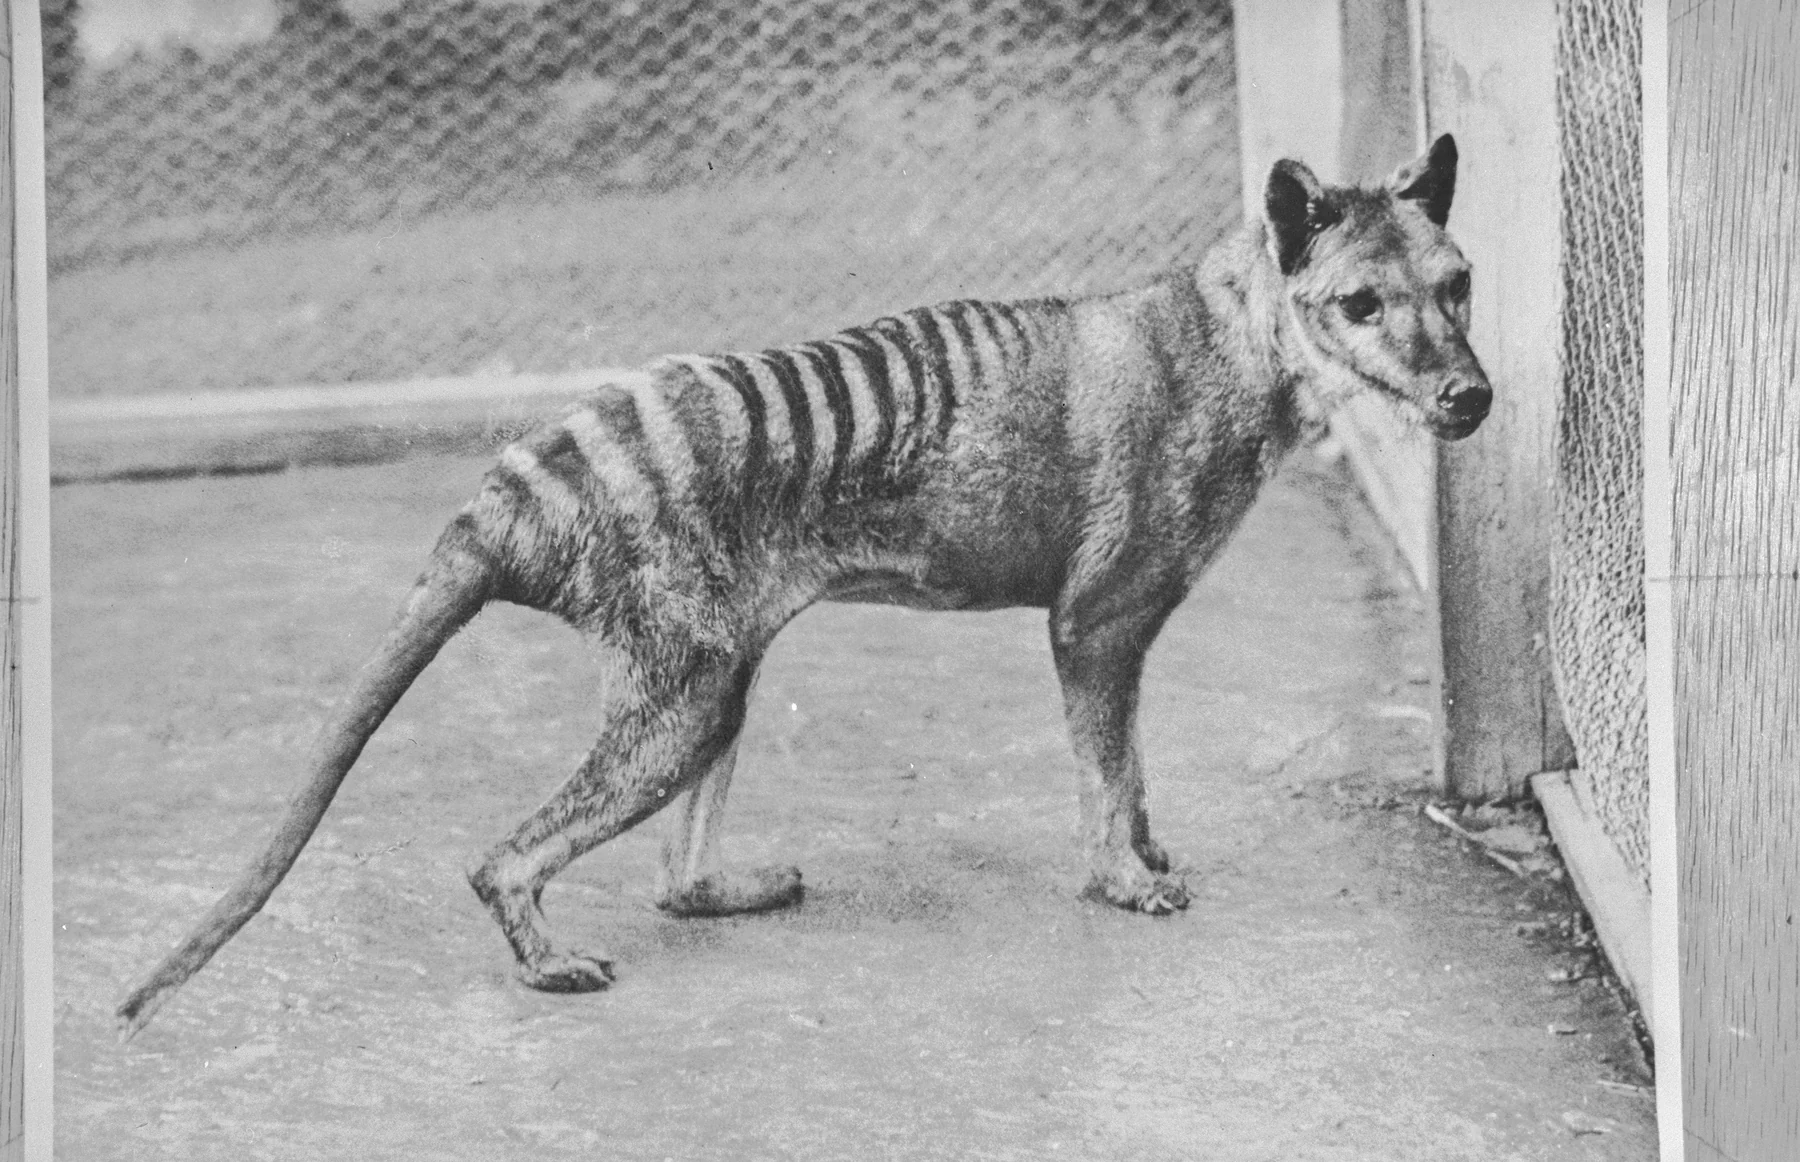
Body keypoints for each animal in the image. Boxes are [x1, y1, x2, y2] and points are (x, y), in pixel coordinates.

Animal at [118, 135, 1490, 1036]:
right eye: (1359, 302)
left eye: (1458, 284)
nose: (1467, 395)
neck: (1232, 341)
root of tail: (513, 489)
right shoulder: (1097, 622)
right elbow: (1108, 772)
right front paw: (1125, 879)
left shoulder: (1120, 637)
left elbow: (1136, 770)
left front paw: (1147, 847)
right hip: (681, 696)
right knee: (504, 859)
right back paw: (547, 961)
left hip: (720, 669)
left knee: (675, 877)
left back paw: (727, 885)